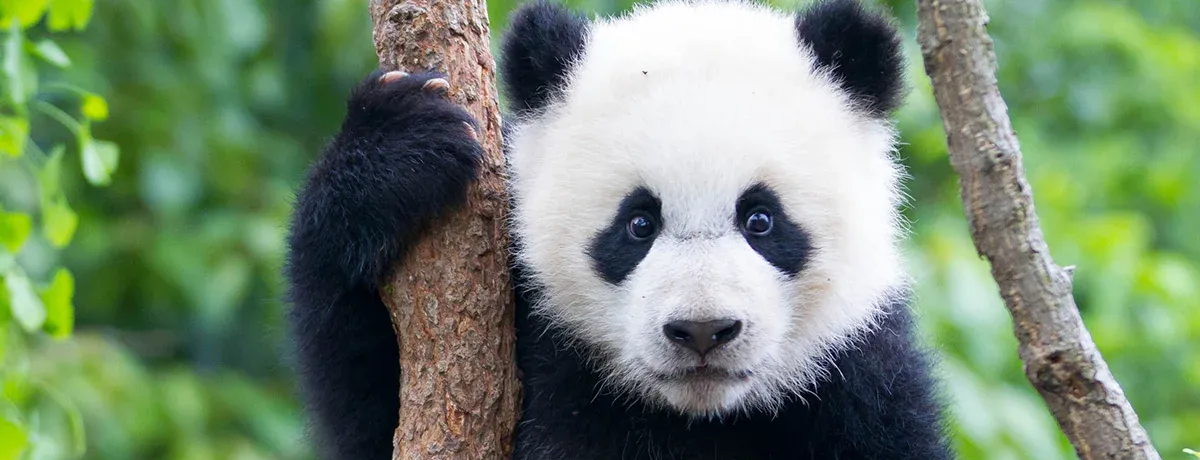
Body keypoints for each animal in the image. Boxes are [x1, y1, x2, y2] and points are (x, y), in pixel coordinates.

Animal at [285, 0, 953, 459]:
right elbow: (371, 409)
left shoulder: (861, 385)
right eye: (638, 224)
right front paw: (397, 150)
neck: (692, 415)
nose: (703, 330)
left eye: (761, 219)